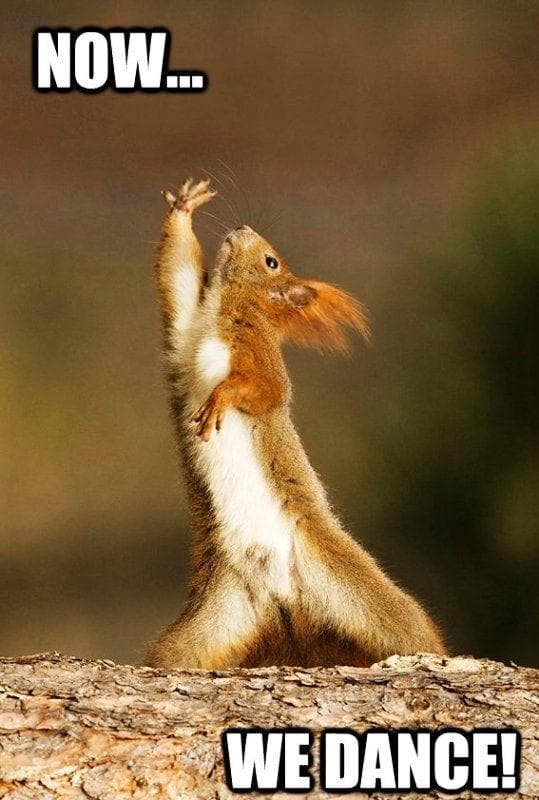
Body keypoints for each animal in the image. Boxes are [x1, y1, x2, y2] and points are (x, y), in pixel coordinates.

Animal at [144, 178, 445, 670]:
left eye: (271, 262)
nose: (242, 228)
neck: (224, 310)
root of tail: (282, 597)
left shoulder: (259, 356)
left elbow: (264, 389)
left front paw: (221, 398)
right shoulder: (185, 326)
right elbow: (176, 277)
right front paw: (185, 208)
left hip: (366, 595)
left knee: (411, 633)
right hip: (208, 623)